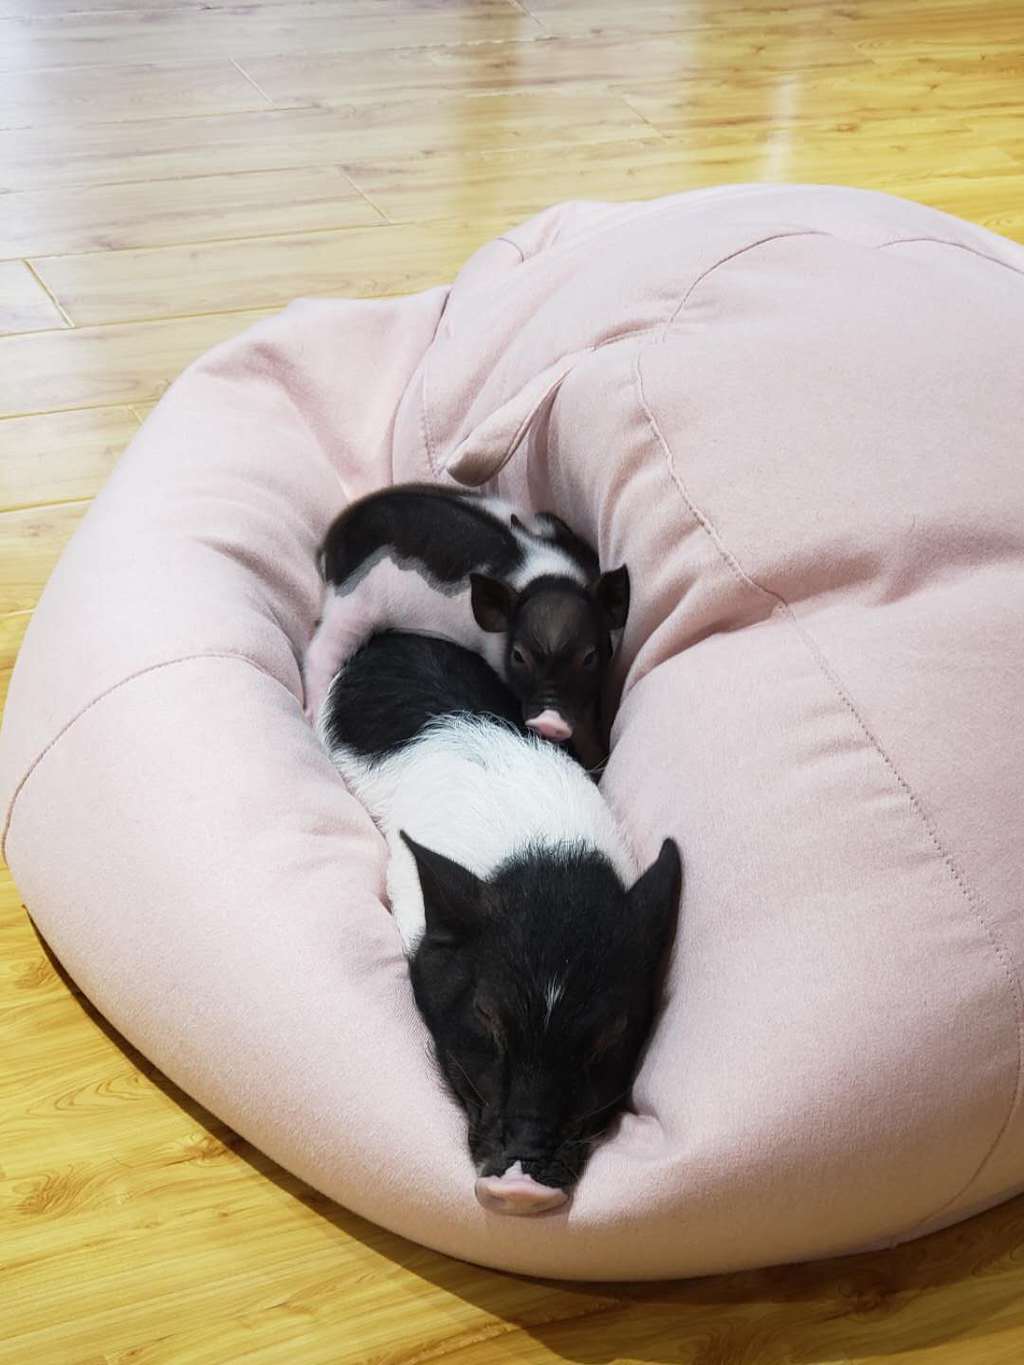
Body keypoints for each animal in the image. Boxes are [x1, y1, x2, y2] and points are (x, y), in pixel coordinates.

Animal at [303, 484, 630, 770]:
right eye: (519, 656)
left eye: (590, 657)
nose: (551, 723)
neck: (546, 579)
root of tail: (331, 543)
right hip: (351, 605)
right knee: (320, 652)